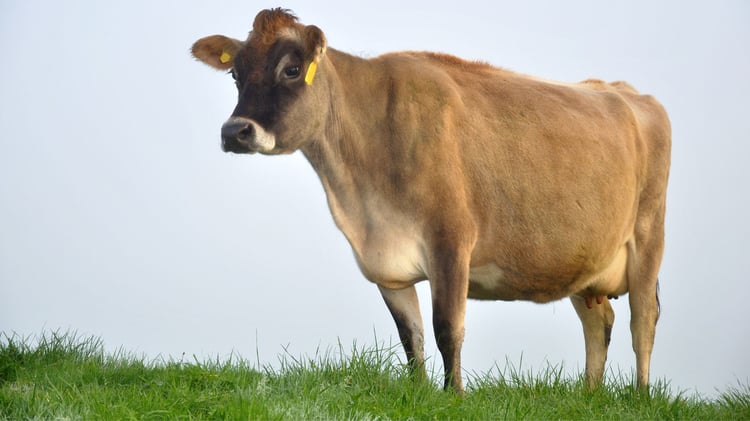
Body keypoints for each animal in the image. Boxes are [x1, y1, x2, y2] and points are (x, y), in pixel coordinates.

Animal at [191, 8, 671, 393]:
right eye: (235, 74)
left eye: (291, 69)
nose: (235, 132)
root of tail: (629, 93)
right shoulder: (386, 264)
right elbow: (412, 336)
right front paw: (420, 392)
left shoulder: (451, 241)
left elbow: (447, 329)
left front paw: (453, 395)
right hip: (581, 260)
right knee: (599, 322)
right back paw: (590, 396)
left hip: (648, 237)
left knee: (642, 320)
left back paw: (640, 396)